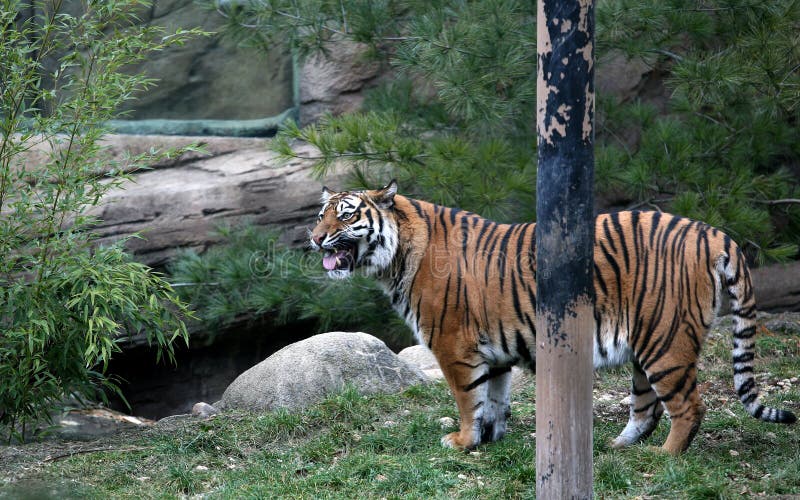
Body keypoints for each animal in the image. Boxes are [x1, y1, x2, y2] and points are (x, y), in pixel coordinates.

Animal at [309, 180, 796, 455]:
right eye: (320, 215)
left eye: (346, 216)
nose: (314, 239)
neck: (396, 256)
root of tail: (714, 232)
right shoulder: (494, 350)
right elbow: (494, 398)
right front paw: (491, 438)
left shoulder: (454, 346)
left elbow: (468, 399)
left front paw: (462, 442)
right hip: (646, 343)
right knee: (646, 408)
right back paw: (618, 447)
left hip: (666, 340)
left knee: (688, 406)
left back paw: (664, 457)